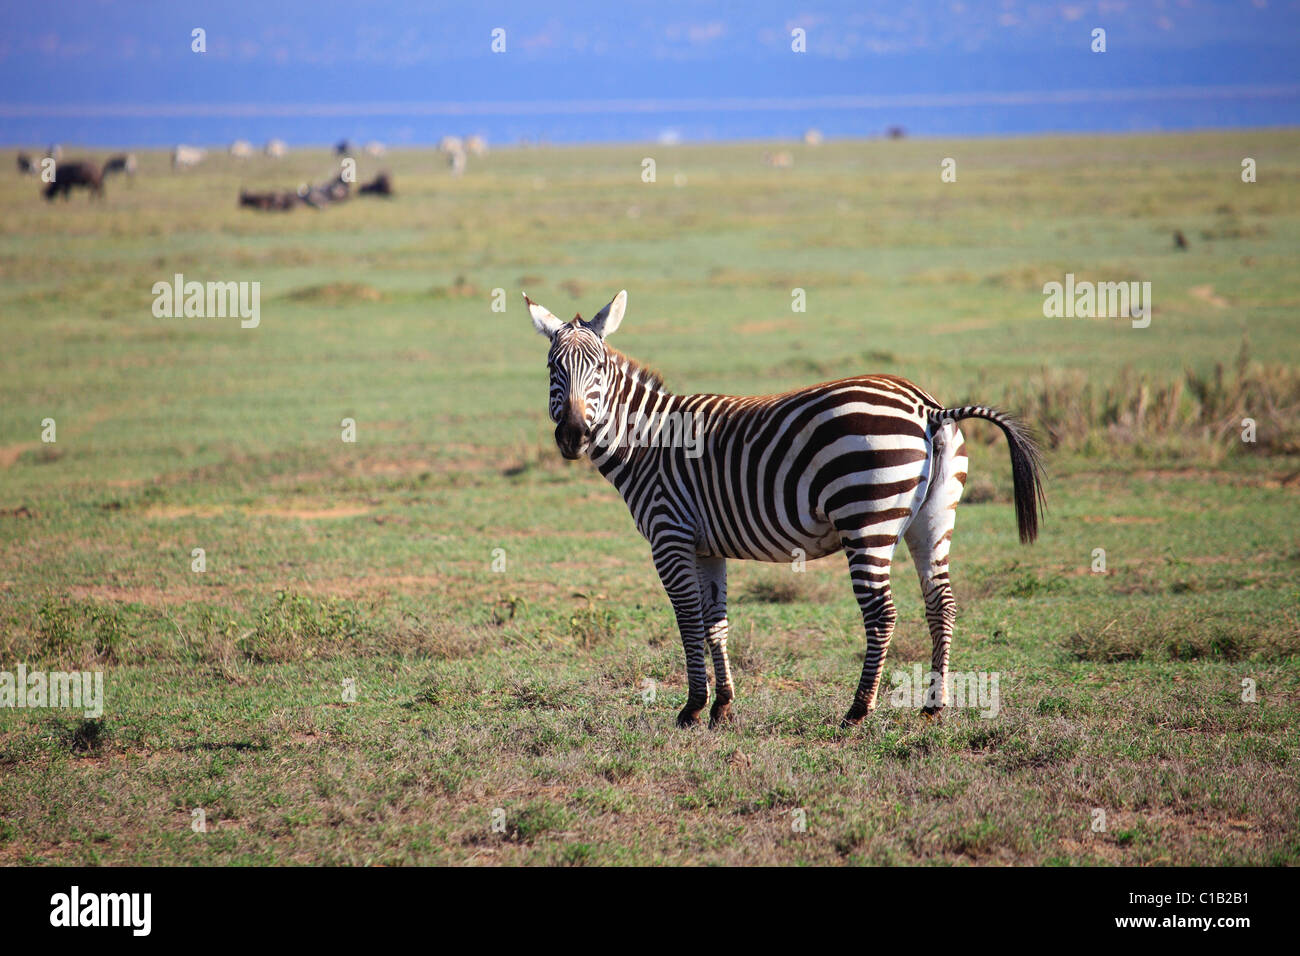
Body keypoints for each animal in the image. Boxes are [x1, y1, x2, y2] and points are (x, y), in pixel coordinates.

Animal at [526, 290, 1046, 729]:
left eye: (599, 369)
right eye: (553, 368)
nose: (572, 435)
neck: (649, 442)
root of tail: (928, 409)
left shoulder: (669, 535)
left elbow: (689, 618)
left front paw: (692, 708)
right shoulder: (706, 546)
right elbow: (716, 621)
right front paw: (722, 706)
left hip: (866, 519)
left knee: (882, 613)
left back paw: (857, 711)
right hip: (932, 519)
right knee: (941, 603)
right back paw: (934, 706)